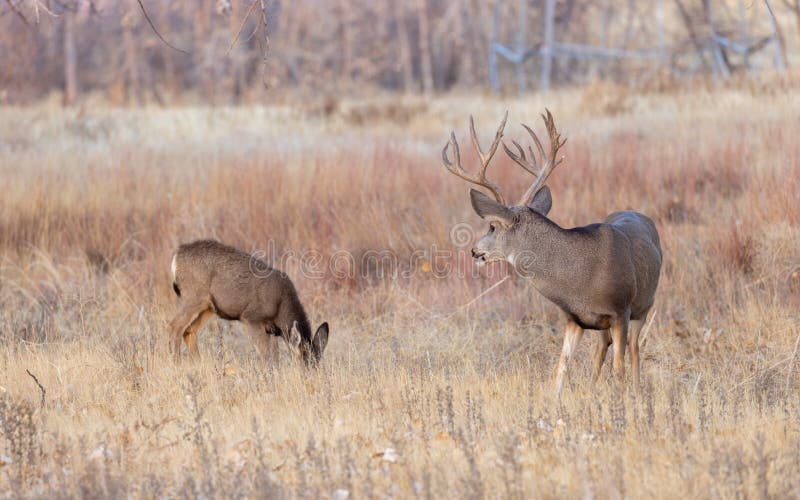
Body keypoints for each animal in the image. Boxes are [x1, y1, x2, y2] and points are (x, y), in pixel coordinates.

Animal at [168, 239, 329, 366]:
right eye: (305, 362)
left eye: (317, 364)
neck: (281, 306)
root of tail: (177, 255)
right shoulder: (252, 318)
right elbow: (266, 356)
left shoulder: (272, 329)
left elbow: (275, 357)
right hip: (193, 296)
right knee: (175, 326)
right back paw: (176, 364)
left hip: (208, 306)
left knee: (189, 331)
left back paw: (199, 365)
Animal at [441, 110, 662, 395]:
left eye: (491, 226)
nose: (474, 251)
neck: (582, 279)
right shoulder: (573, 319)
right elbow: (560, 370)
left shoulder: (621, 311)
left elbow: (619, 371)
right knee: (600, 350)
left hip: (644, 306)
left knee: (634, 350)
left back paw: (635, 388)